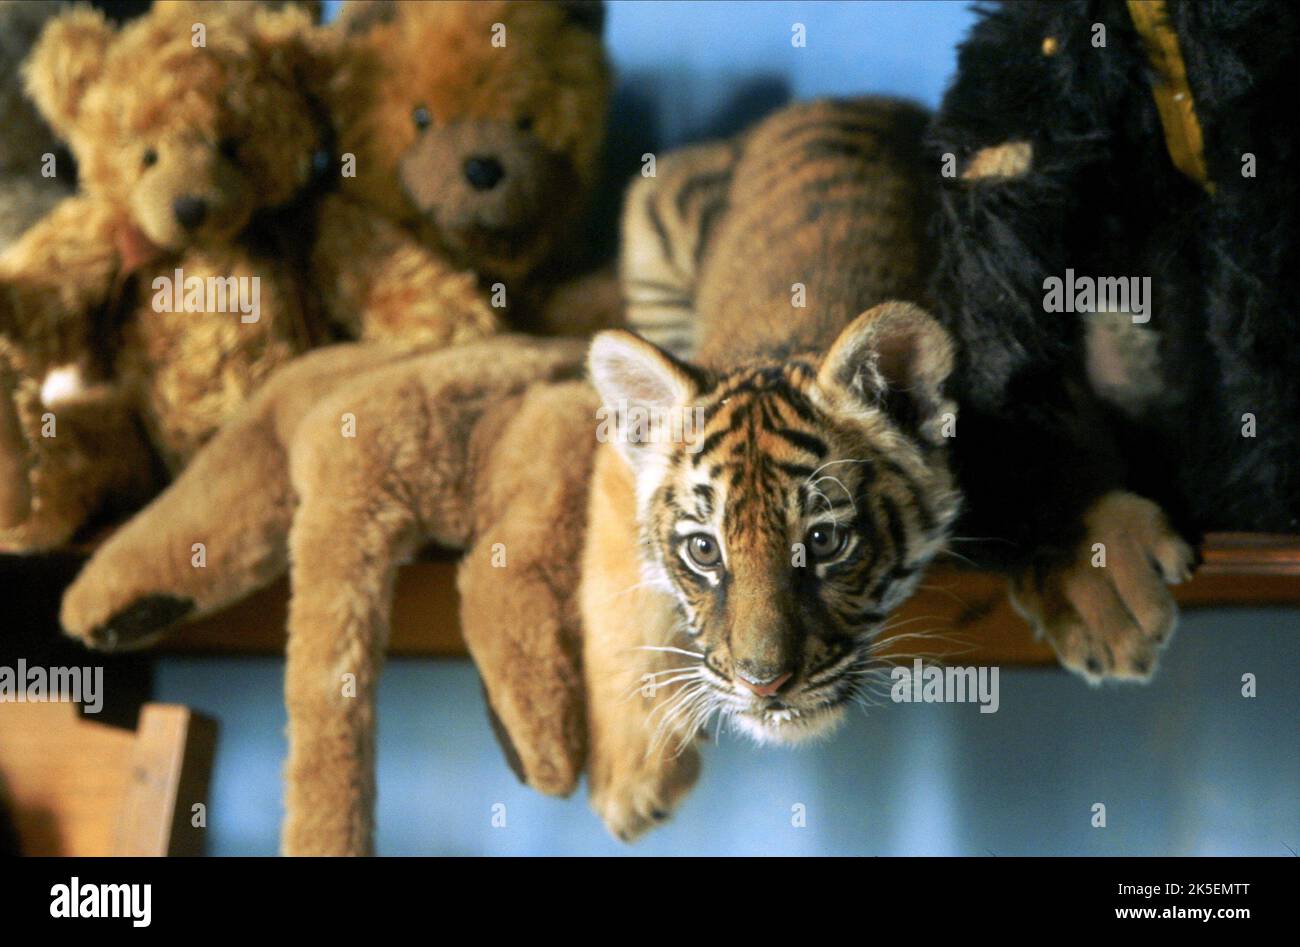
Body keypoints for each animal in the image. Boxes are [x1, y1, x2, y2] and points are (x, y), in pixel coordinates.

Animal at [580, 98, 962, 840]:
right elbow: (612, 597)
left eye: (823, 540)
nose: (764, 685)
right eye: (703, 550)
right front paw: (633, 780)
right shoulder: (613, 474)